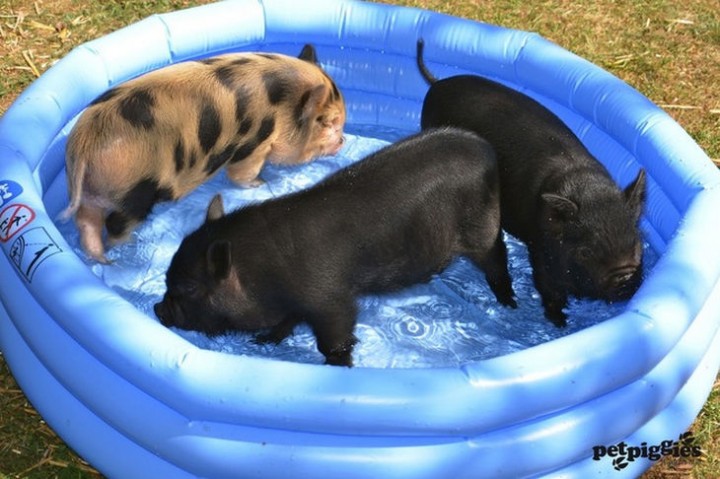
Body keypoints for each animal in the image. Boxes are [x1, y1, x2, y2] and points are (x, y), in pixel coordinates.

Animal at [62, 44, 346, 263]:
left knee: (86, 220)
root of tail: (85, 142)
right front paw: (260, 183)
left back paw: (102, 259)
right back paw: (122, 246)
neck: (282, 109)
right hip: (134, 190)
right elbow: (242, 173)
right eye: (328, 123)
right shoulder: (254, 146)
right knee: (114, 222)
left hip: (96, 190)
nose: (342, 140)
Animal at [154, 127, 517, 366]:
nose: (158, 309)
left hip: (483, 228)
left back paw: (508, 304)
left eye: (189, 288)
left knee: (498, 260)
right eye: (168, 280)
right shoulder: (295, 305)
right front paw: (264, 340)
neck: (258, 274)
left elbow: (335, 339)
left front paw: (338, 365)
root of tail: (485, 148)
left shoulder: (331, 301)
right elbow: (286, 322)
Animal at [416, 39, 646, 327]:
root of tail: (437, 83)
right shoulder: (540, 249)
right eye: (586, 252)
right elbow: (548, 287)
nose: (624, 277)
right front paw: (559, 323)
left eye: (636, 243)